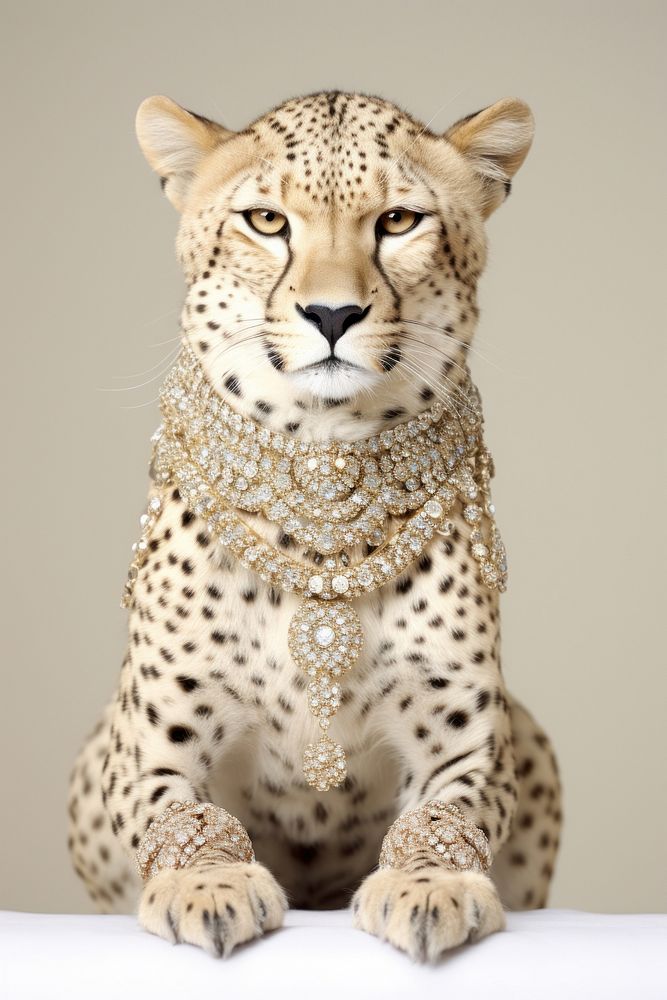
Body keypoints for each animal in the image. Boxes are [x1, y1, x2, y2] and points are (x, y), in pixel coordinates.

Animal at [67, 90, 561, 962]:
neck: (323, 478)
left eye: (398, 221)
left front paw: (429, 885)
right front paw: (209, 885)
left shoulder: (468, 732)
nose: (332, 312)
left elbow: (449, 812)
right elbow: (177, 812)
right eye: (267, 221)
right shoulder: (150, 736)